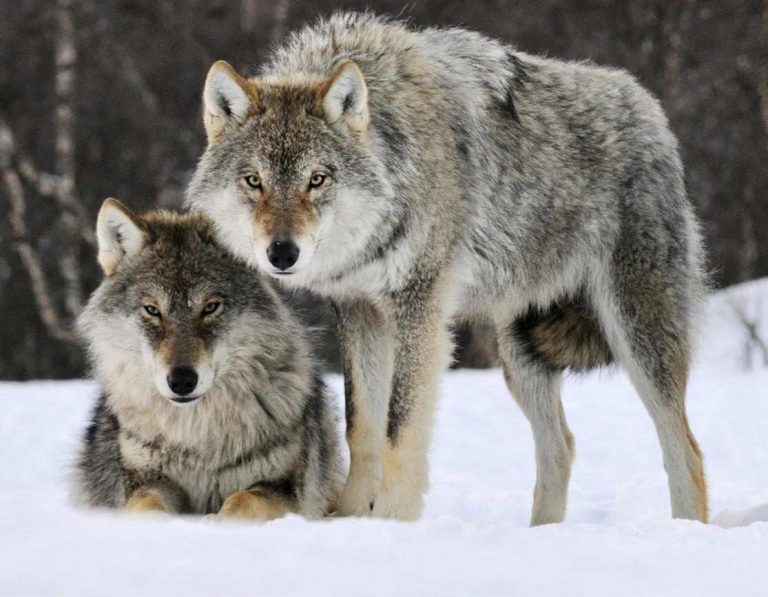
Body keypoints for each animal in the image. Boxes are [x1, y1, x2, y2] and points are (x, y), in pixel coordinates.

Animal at [72, 199, 343, 520]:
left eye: (211, 307)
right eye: (152, 310)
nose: (181, 381)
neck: (197, 437)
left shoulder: (284, 488)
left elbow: (243, 501)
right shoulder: (145, 481)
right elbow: (146, 505)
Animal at [187, 13, 708, 524]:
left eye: (317, 179)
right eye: (253, 181)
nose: (282, 253)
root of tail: (649, 106)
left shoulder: (419, 309)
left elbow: (399, 429)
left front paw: (391, 522)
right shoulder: (359, 311)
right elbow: (362, 428)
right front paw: (351, 519)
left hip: (636, 336)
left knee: (685, 449)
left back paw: (685, 529)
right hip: (520, 354)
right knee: (561, 446)